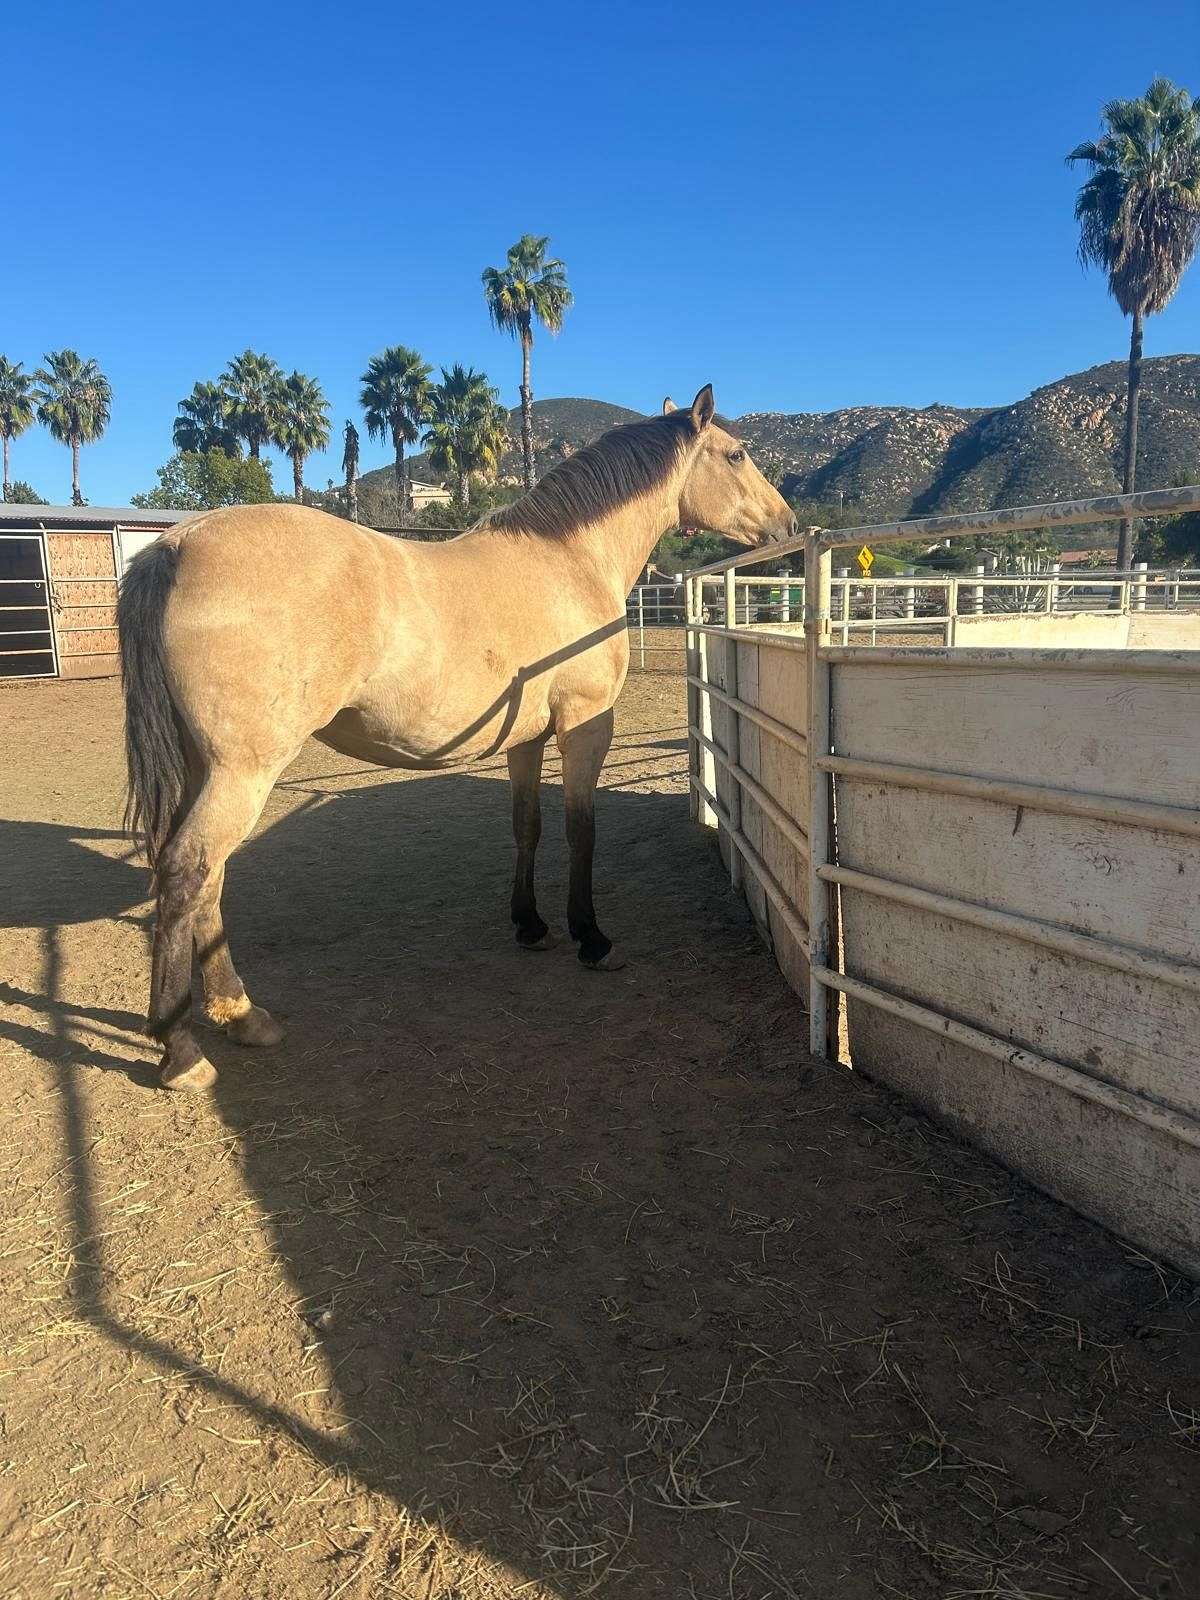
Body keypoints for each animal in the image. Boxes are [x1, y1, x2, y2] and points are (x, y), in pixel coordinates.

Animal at [117, 385, 795, 1090]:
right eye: (737, 454)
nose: (788, 525)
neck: (570, 559)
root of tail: (175, 544)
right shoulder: (585, 727)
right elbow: (581, 830)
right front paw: (591, 937)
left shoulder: (526, 739)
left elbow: (527, 827)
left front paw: (530, 925)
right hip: (242, 772)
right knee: (188, 872)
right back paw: (182, 1050)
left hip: (207, 769)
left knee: (209, 878)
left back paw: (242, 1015)